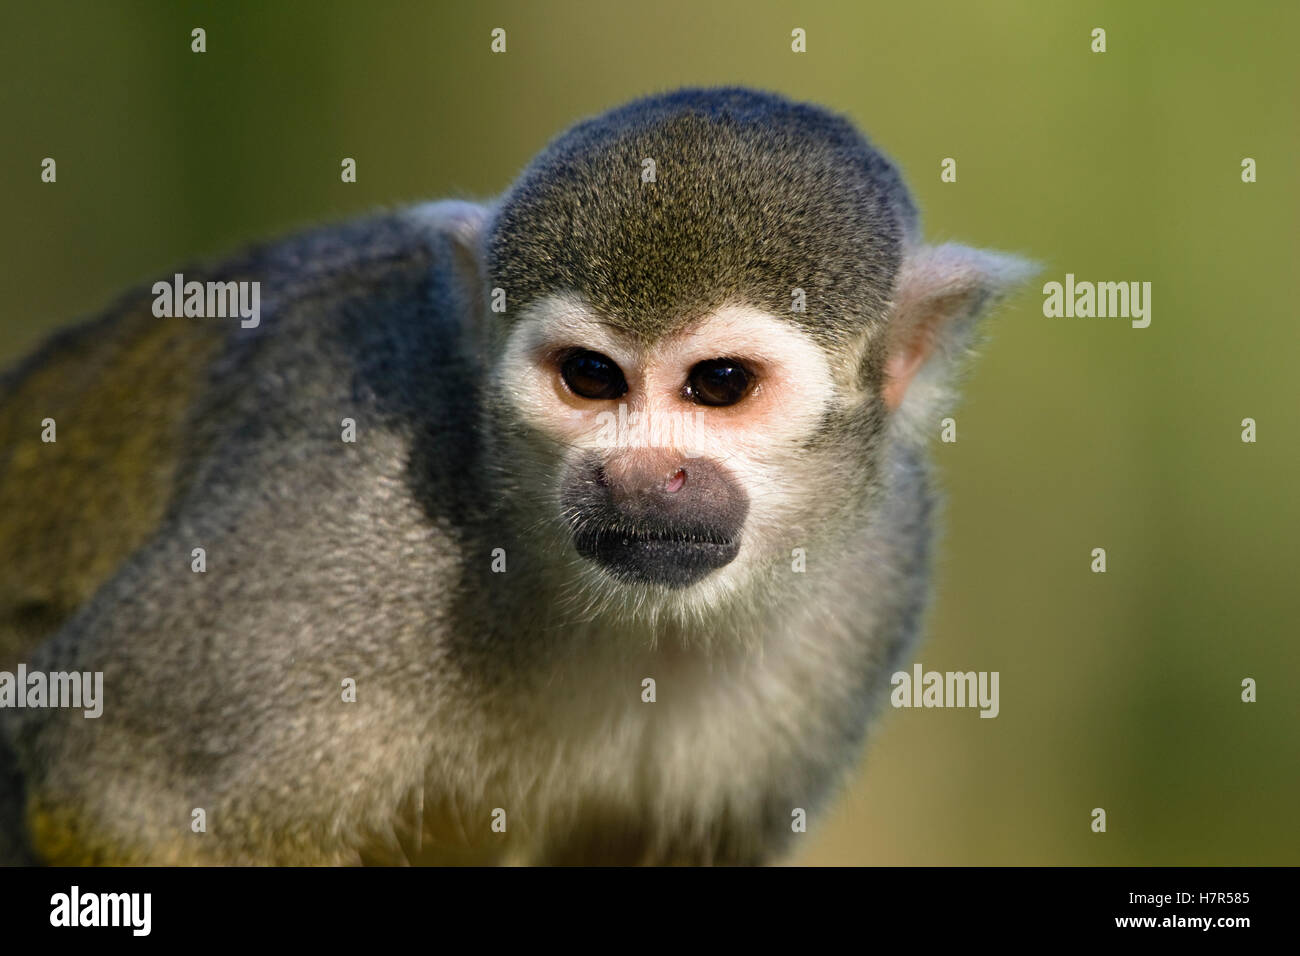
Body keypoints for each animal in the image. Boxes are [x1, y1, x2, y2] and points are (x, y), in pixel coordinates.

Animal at [0, 87, 1032, 865]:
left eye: (720, 385)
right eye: (591, 376)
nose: (640, 476)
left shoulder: (882, 571)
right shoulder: (357, 512)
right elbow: (115, 786)